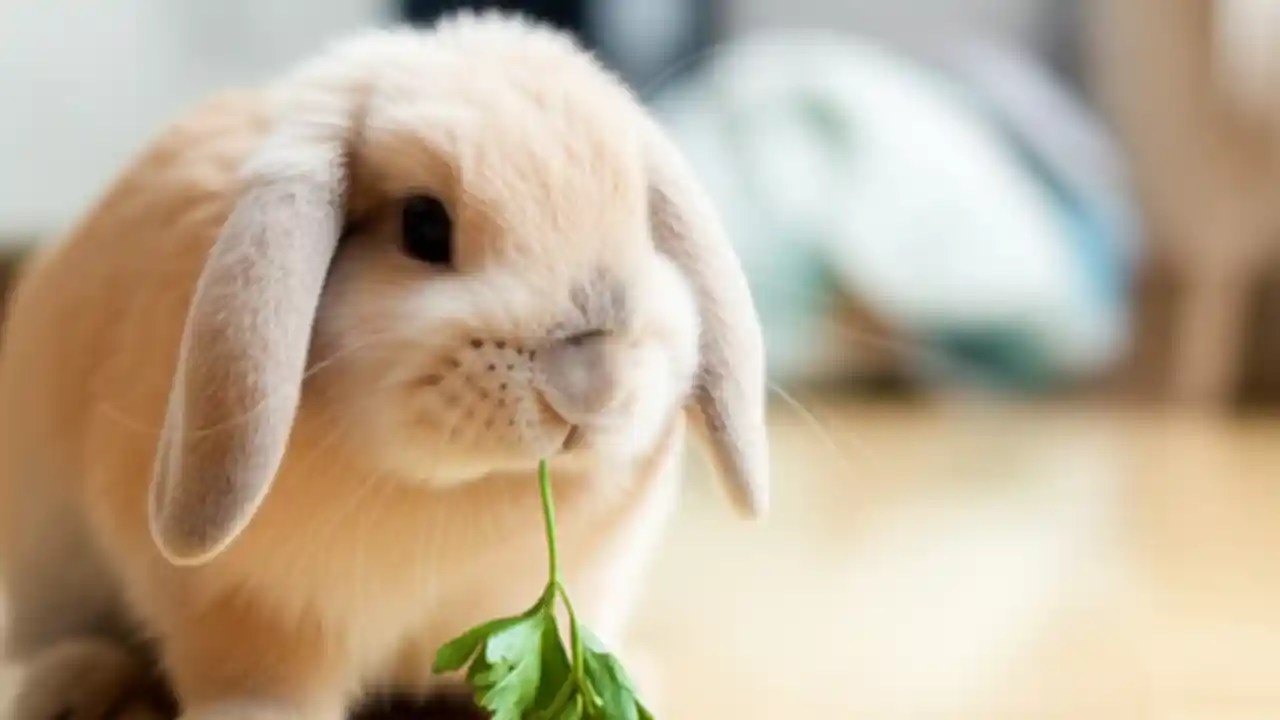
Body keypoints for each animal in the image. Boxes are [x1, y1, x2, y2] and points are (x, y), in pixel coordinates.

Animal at [0, 11, 768, 720]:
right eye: (423, 225)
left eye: (642, 224)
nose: (594, 383)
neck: (464, 494)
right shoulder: (247, 607)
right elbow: (256, 677)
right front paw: (253, 716)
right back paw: (67, 684)